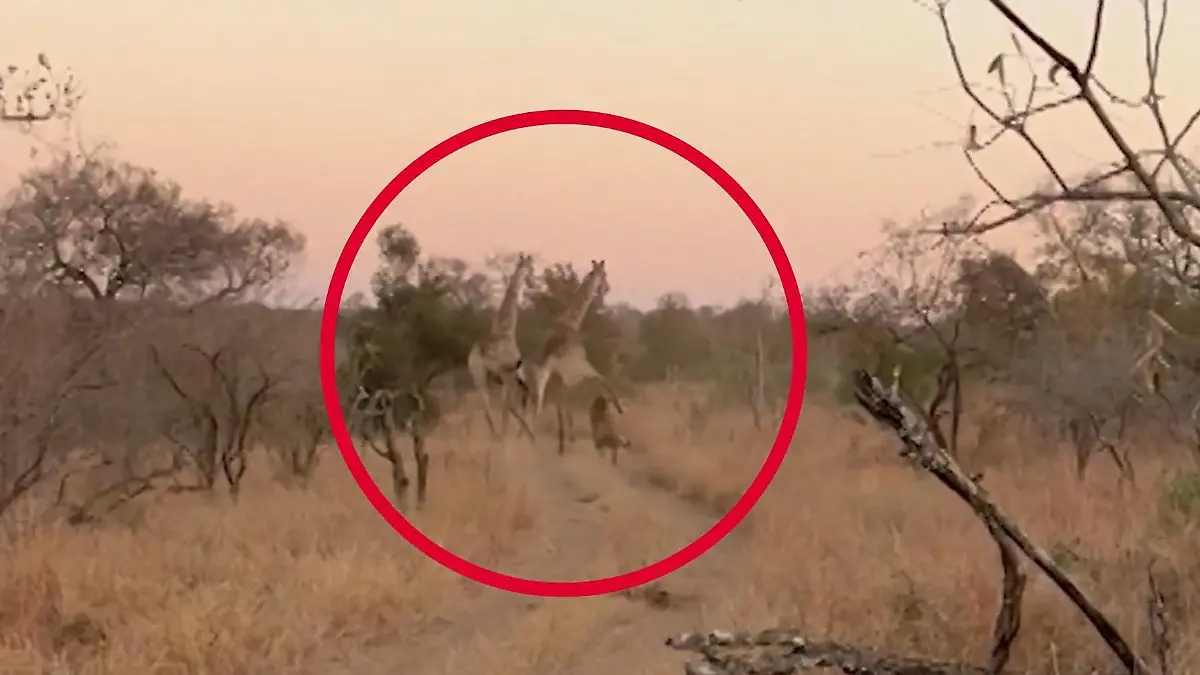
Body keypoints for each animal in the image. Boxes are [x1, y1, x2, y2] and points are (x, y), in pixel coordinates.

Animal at [467, 253, 536, 440]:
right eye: (531, 268)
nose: (533, 281)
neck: (505, 330)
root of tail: (470, 356)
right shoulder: (507, 375)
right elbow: (507, 408)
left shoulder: (506, 378)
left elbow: (507, 409)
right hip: (481, 376)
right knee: (491, 408)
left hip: (489, 380)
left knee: (489, 408)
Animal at [524, 260, 625, 447]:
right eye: (604, 274)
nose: (606, 287)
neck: (571, 321)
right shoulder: (580, 369)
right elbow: (603, 379)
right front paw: (620, 408)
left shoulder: (564, 380)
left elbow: (566, 407)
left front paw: (569, 436)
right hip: (542, 386)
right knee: (534, 411)